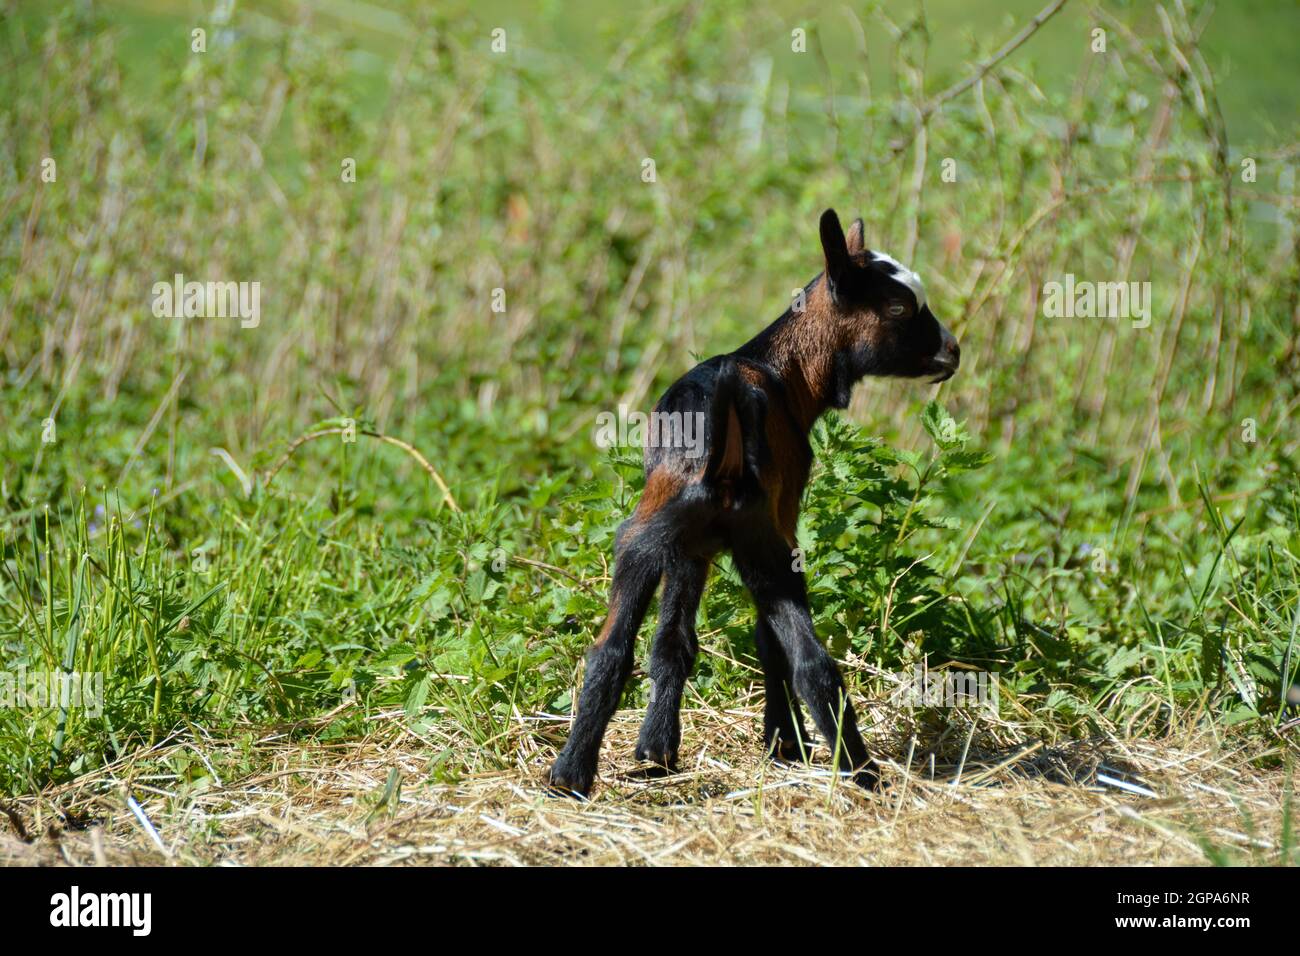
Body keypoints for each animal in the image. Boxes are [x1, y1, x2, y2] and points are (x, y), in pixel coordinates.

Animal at [547, 209, 960, 796]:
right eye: (900, 307)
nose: (952, 350)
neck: (780, 371)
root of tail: (722, 439)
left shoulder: (691, 547)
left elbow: (672, 642)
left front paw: (656, 750)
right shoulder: (781, 521)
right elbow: (767, 643)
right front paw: (783, 744)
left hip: (645, 538)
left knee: (609, 649)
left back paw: (570, 774)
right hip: (762, 543)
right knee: (809, 660)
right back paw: (860, 770)